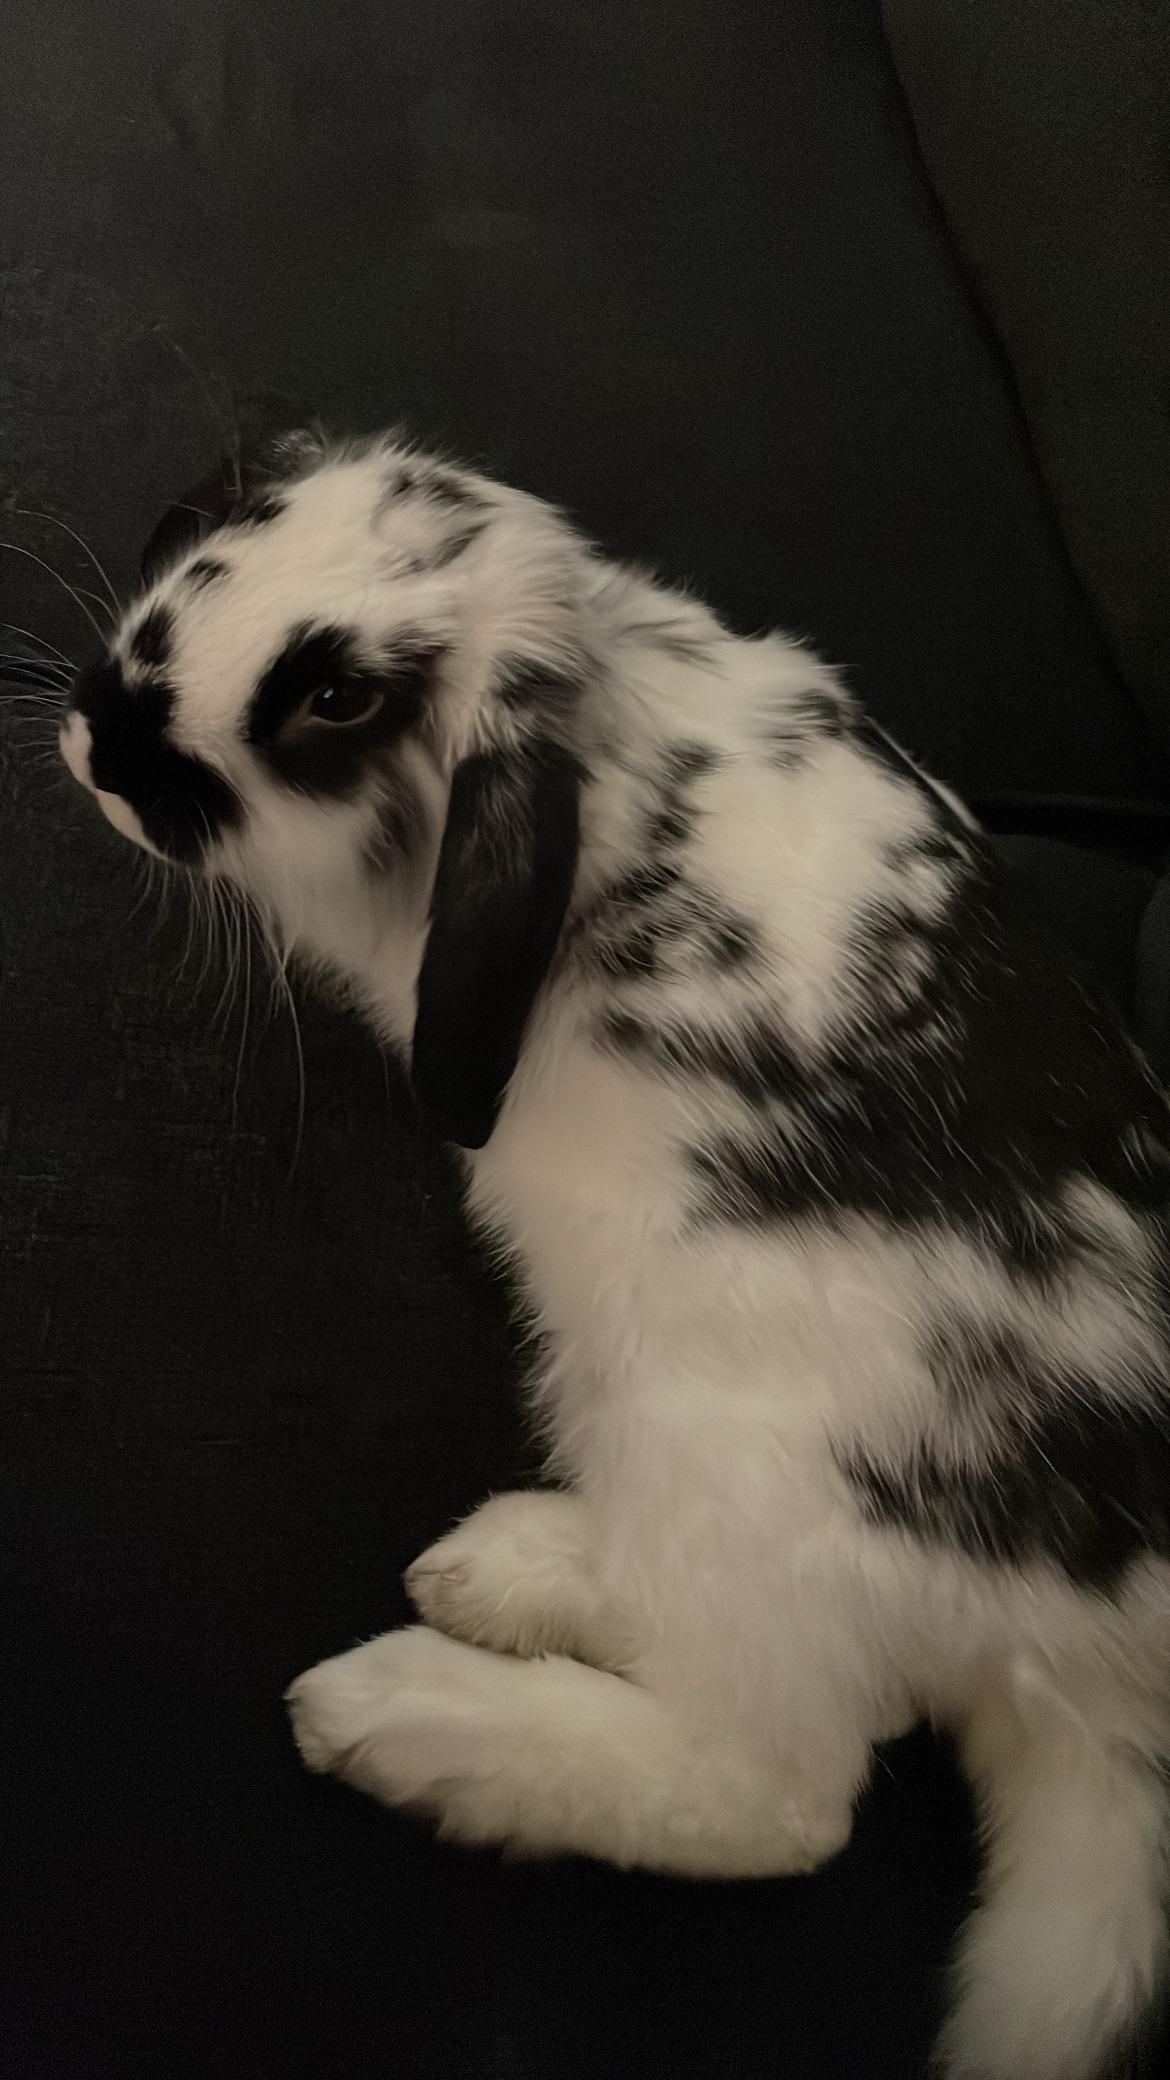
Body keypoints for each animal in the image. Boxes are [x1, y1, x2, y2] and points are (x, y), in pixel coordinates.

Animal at [59, 427, 1170, 2080]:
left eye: (337, 702)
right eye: (234, 528)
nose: (104, 739)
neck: (620, 736)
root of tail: (1100, 1665)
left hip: (725, 1467)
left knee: (778, 1789)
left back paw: (399, 1718)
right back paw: (497, 1569)